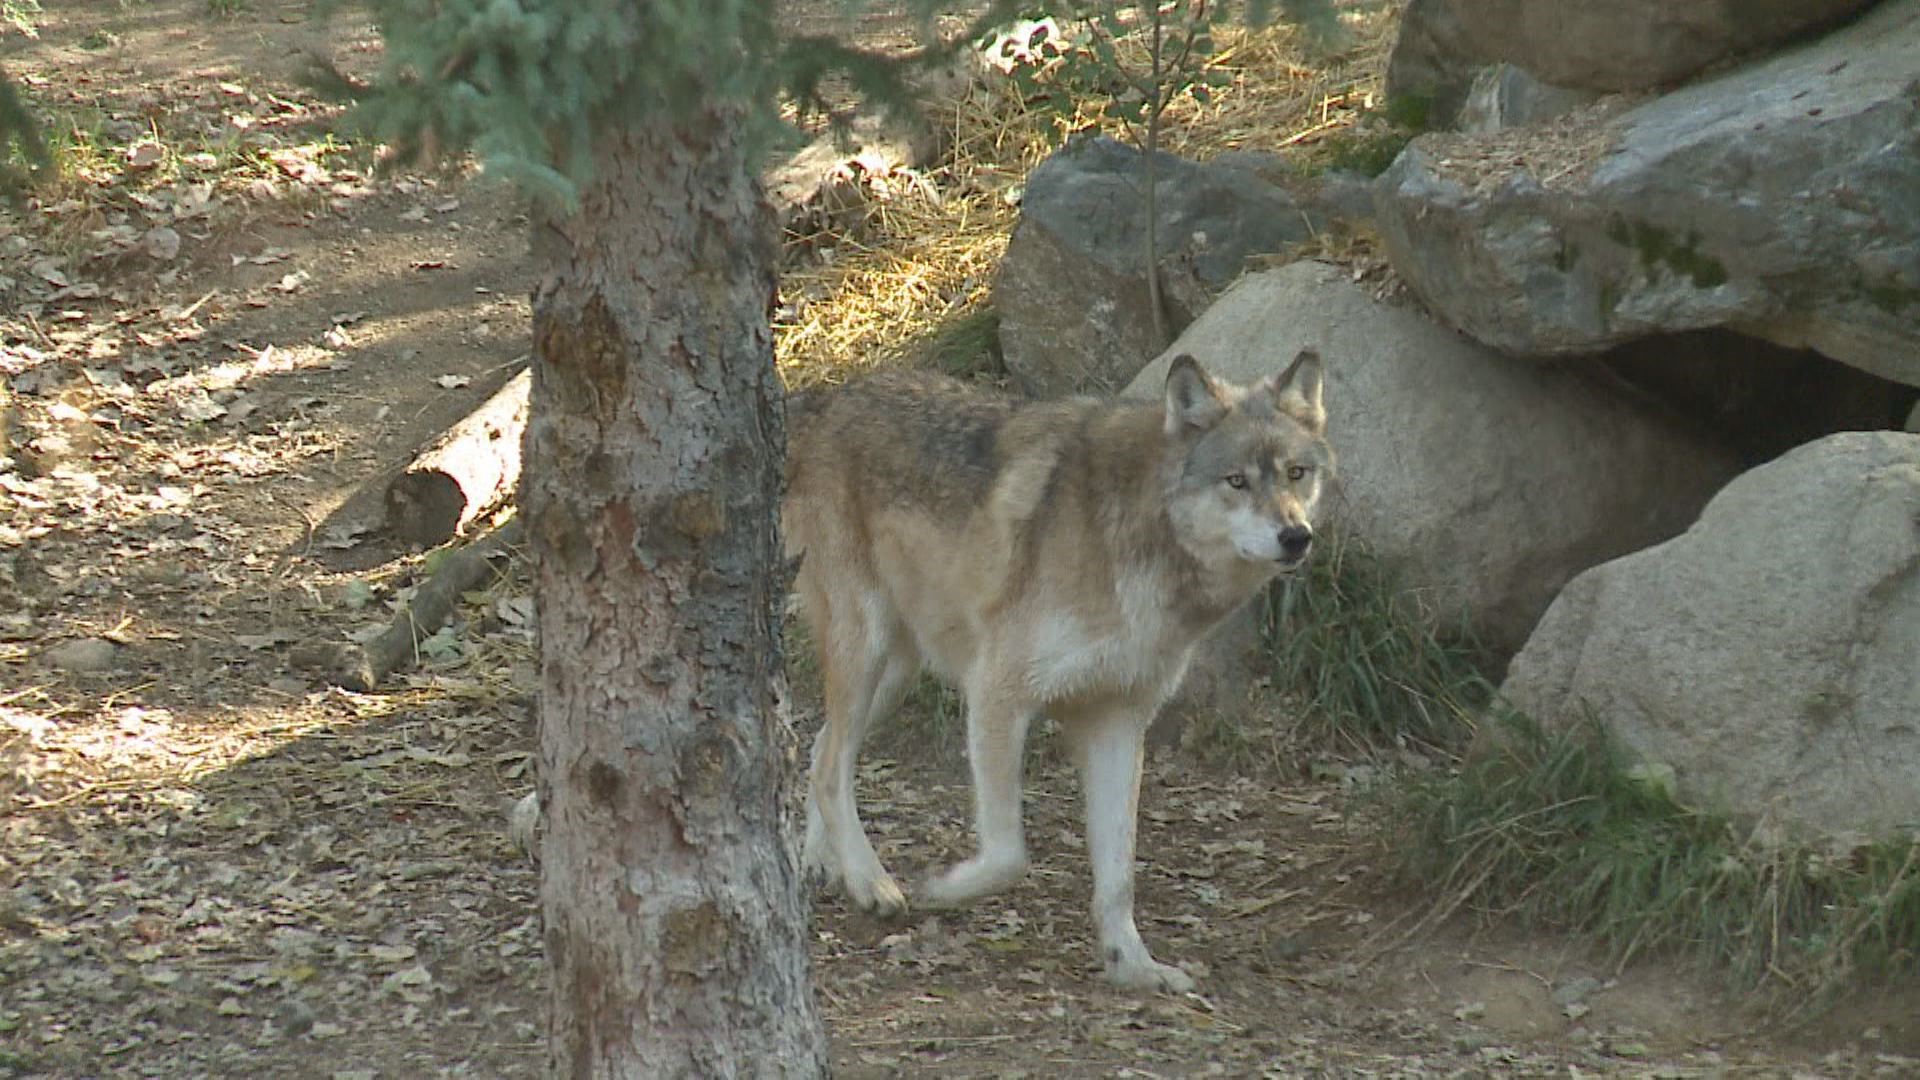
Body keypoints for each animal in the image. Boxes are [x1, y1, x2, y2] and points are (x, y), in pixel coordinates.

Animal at [784, 350, 1330, 993]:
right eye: (1236, 481)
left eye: (1296, 473)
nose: (1295, 536)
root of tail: (829, 397)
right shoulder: (996, 691)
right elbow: (1009, 856)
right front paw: (943, 888)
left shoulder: (1118, 722)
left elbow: (1119, 874)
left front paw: (1132, 965)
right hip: (867, 648)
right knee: (831, 764)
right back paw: (872, 883)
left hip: (895, 675)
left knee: (822, 751)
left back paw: (826, 866)